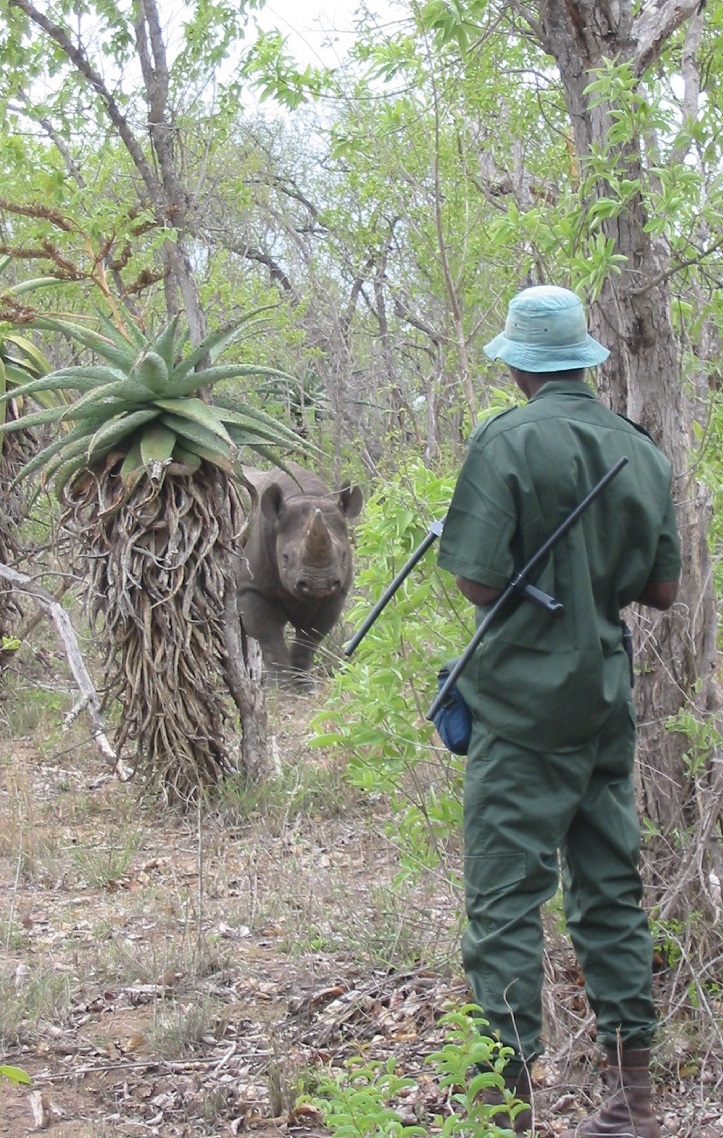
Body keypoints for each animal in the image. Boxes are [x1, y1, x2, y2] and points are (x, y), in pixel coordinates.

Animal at [237, 463, 363, 687]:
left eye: (344, 555)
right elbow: (268, 638)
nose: (319, 584)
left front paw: (304, 687)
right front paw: (281, 688)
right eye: (285, 557)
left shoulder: (336, 594)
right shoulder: (252, 587)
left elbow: (309, 640)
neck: (304, 495)